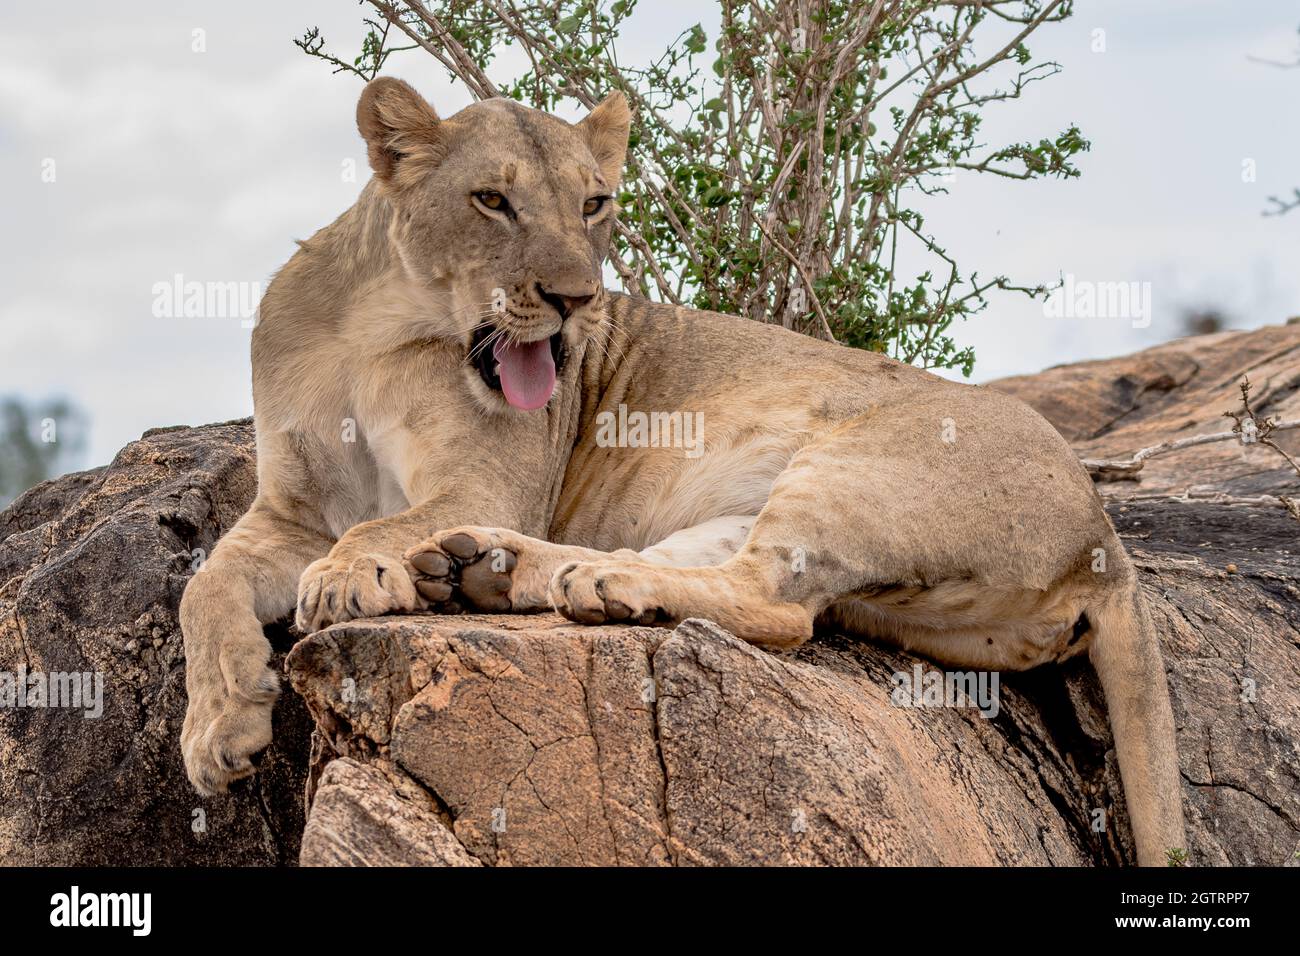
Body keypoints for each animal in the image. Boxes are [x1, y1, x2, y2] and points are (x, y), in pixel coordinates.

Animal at [179, 77, 1185, 865]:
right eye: (493, 201)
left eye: (593, 204)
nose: (576, 300)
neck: (375, 328)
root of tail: (1105, 538)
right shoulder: (290, 508)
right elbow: (206, 585)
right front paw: (219, 730)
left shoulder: (491, 482)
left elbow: (371, 526)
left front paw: (349, 579)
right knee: (709, 574)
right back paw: (489, 570)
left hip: (851, 465)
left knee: (776, 607)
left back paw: (550, 579)